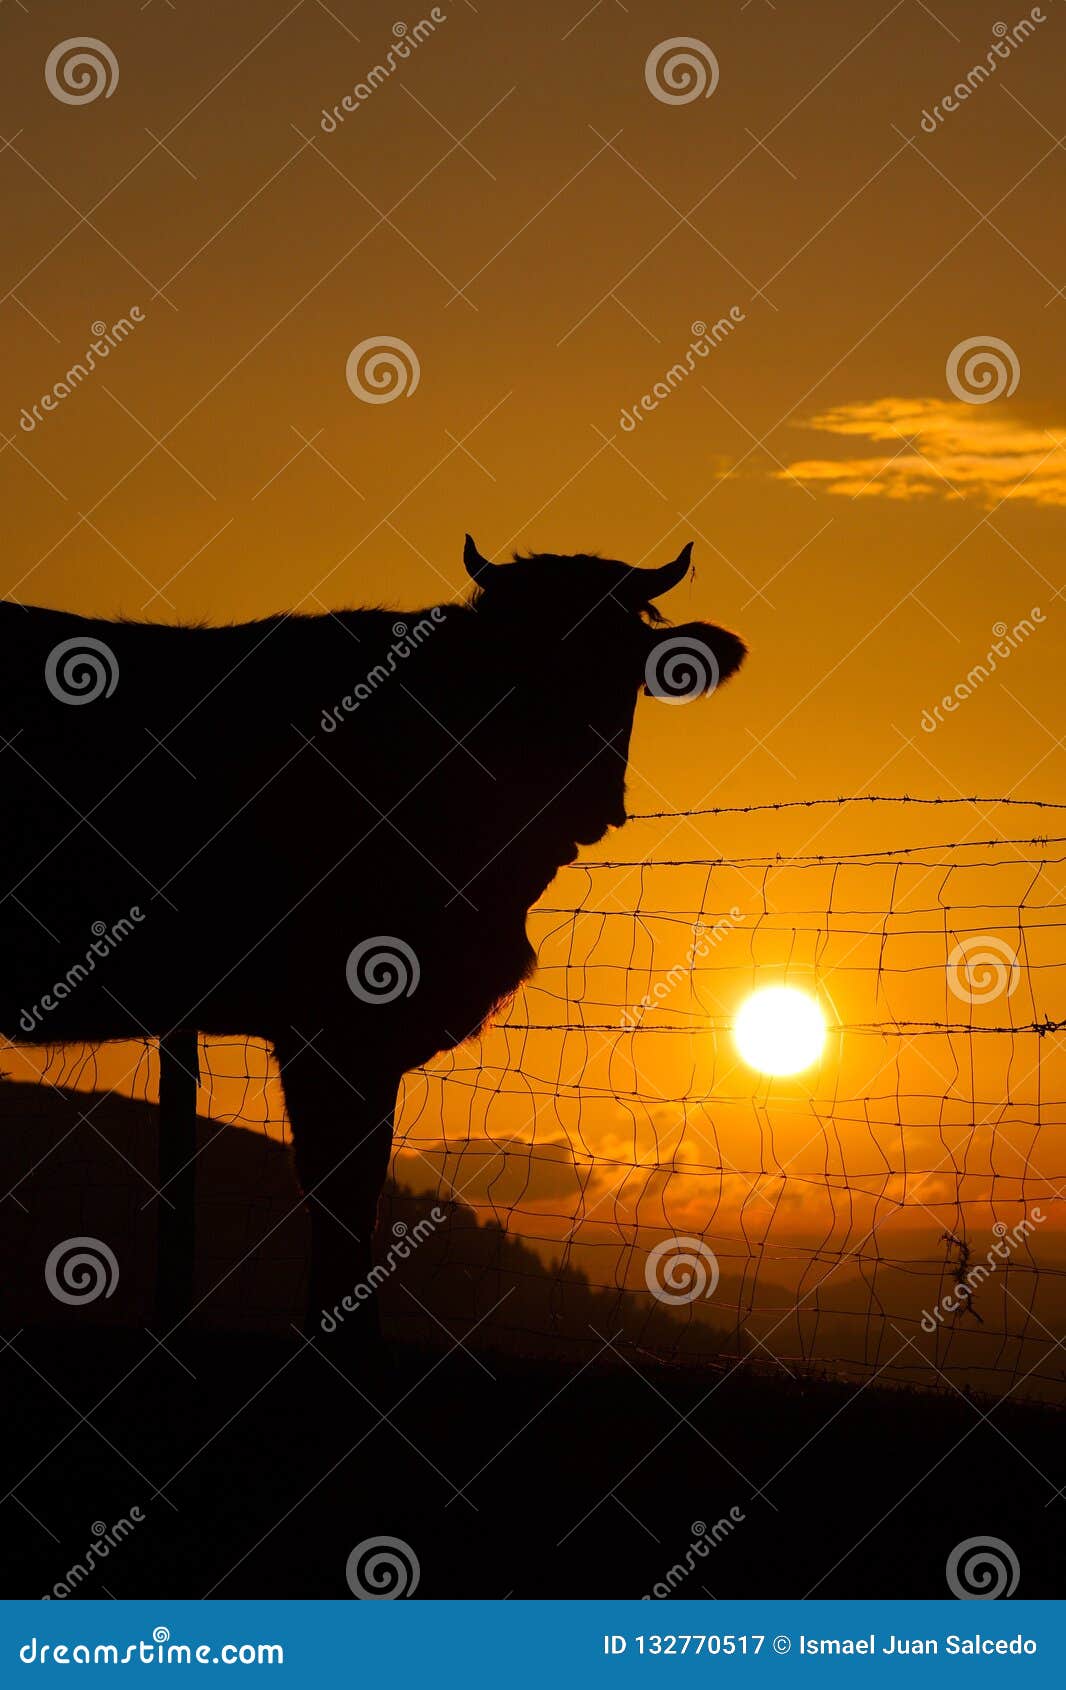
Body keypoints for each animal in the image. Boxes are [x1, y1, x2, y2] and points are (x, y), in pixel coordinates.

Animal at [0, 536, 745, 1354]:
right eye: (512, 665)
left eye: (623, 662)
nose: (585, 795)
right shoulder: (333, 1020)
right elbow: (341, 1184)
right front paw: (342, 1337)